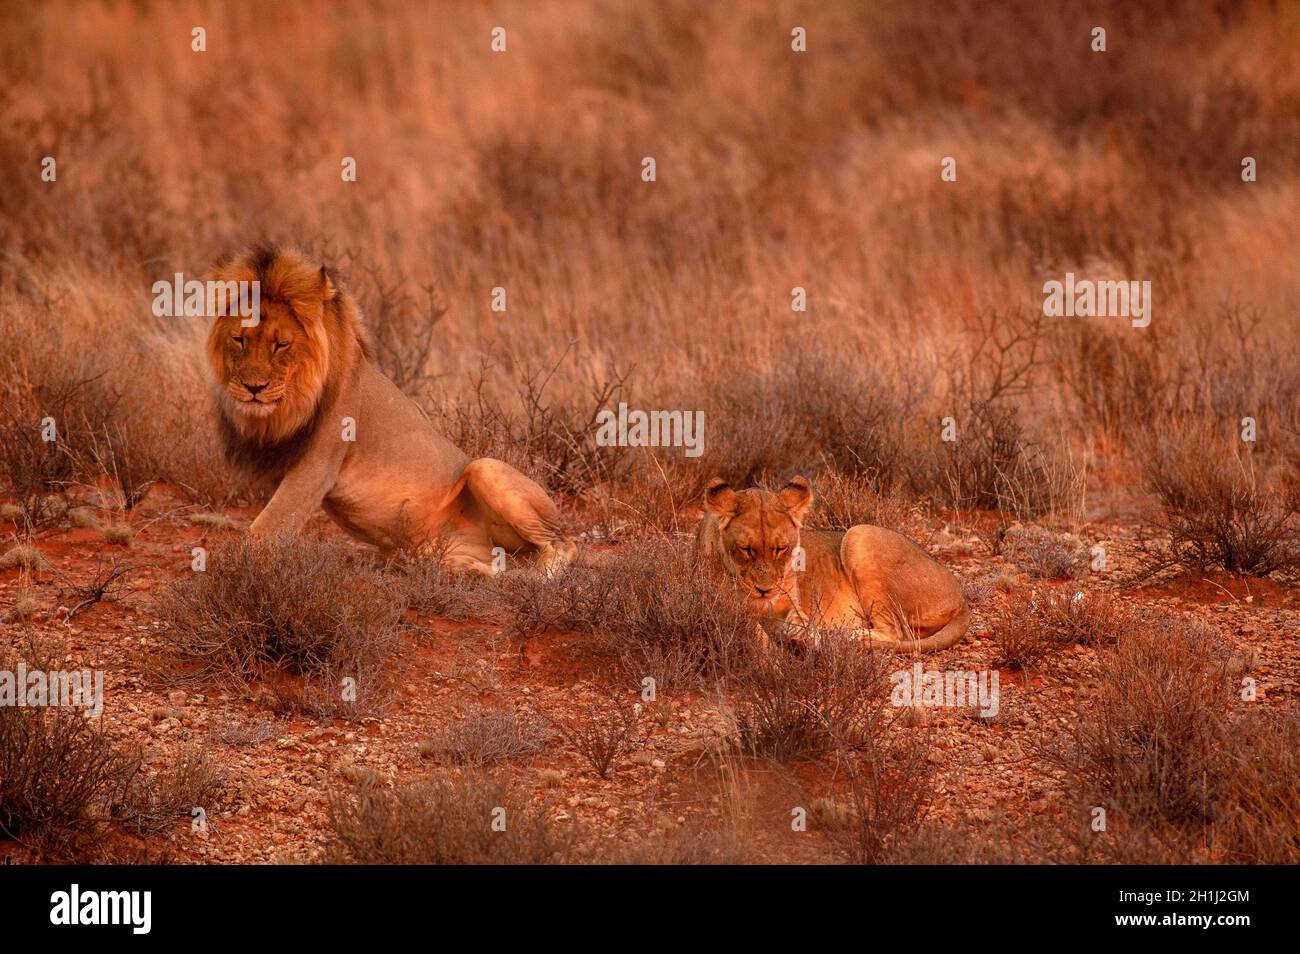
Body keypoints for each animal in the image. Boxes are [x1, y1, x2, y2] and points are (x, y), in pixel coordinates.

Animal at [205, 244, 574, 573]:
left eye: (280, 344)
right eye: (239, 340)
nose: (253, 388)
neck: (291, 403)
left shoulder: (317, 466)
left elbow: (265, 528)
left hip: (486, 469)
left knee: (562, 547)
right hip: (449, 549)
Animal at [694, 476, 968, 651]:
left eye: (781, 549)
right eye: (746, 549)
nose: (764, 590)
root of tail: (962, 599)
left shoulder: (793, 605)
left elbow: (800, 623)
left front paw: (807, 638)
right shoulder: (723, 609)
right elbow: (755, 630)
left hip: (859, 534)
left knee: (894, 632)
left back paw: (841, 636)